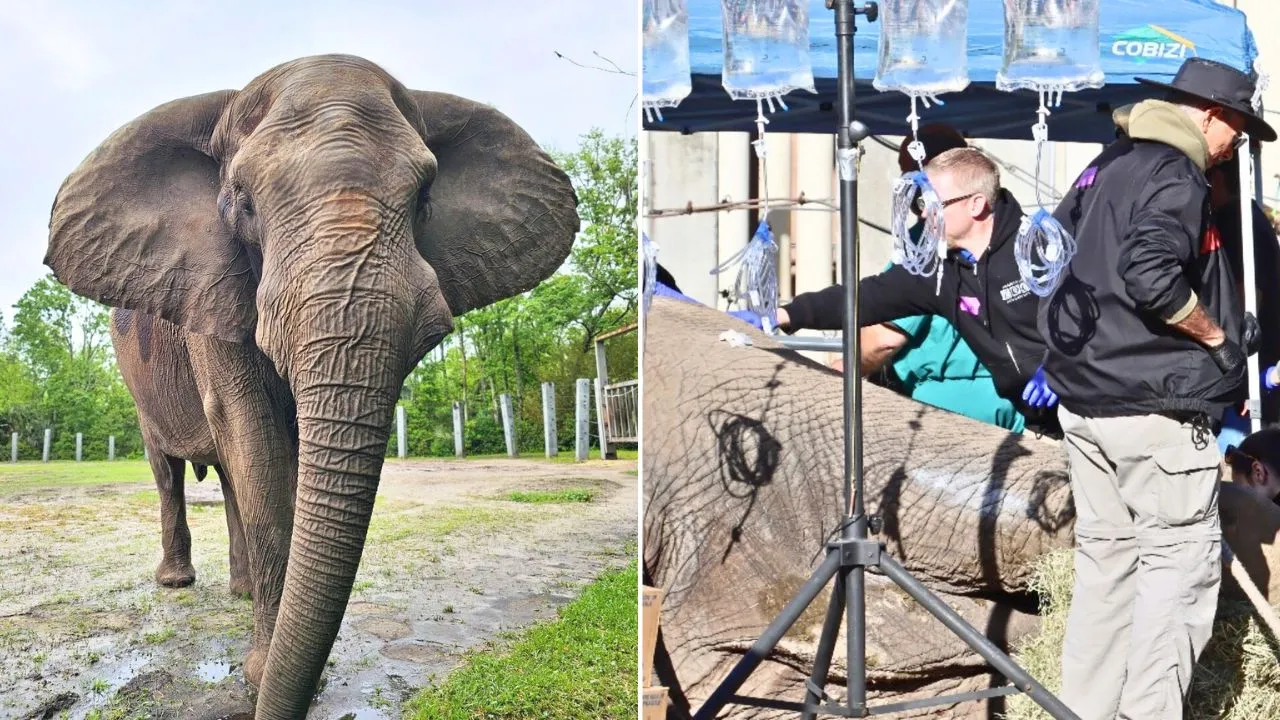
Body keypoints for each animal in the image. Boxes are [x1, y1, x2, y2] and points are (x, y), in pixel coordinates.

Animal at [44, 54, 579, 719]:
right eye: (241, 201)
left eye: (425, 196)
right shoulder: (213, 288)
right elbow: (252, 436)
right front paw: (258, 673)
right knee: (169, 470)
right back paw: (178, 583)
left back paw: (240, 592)